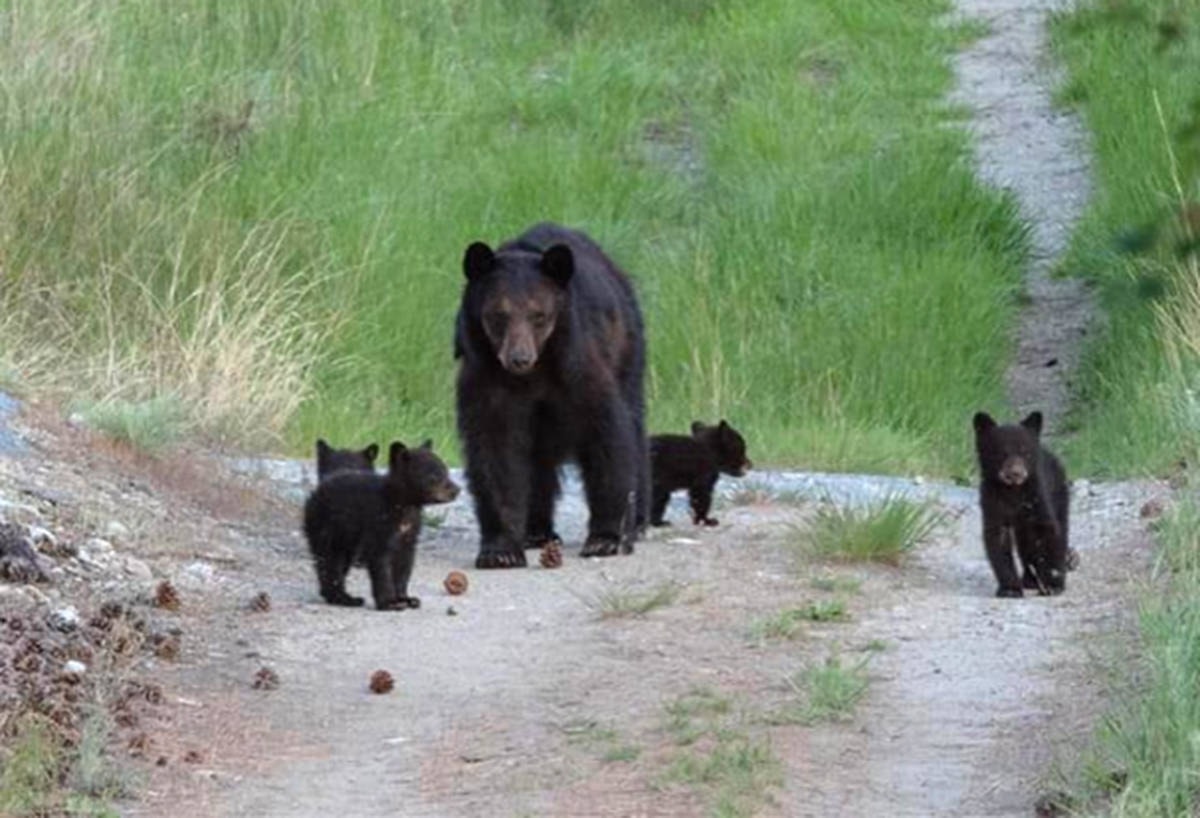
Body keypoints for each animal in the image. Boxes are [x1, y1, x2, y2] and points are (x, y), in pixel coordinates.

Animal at [303, 439, 459, 609]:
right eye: (433, 475)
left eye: (446, 471)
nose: (457, 490)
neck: (404, 506)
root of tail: (318, 490)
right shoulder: (379, 525)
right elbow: (381, 563)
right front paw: (389, 602)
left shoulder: (410, 534)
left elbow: (404, 565)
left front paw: (406, 598)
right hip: (327, 529)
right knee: (332, 562)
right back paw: (344, 598)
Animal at [454, 222, 649, 569]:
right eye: (498, 315)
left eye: (539, 315)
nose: (518, 359)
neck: (538, 372)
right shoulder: (486, 378)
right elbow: (495, 451)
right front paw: (500, 550)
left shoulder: (581, 368)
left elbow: (607, 434)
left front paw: (606, 538)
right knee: (538, 458)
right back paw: (536, 531)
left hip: (628, 349)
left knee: (634, 423)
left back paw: (638, 522)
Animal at [972, 411, 1073, 598]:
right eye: (1002, 452)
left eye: (1025, 451)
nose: (1016, 473)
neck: (1013, 491)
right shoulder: (992, 504)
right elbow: (997, 541)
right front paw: (1010, 588)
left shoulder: (1037, 499)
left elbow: (1049, 533)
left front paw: (1053, 584)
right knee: (1025, 547)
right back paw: (1029, 580)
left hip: (1059, 495)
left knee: (1059, 530)